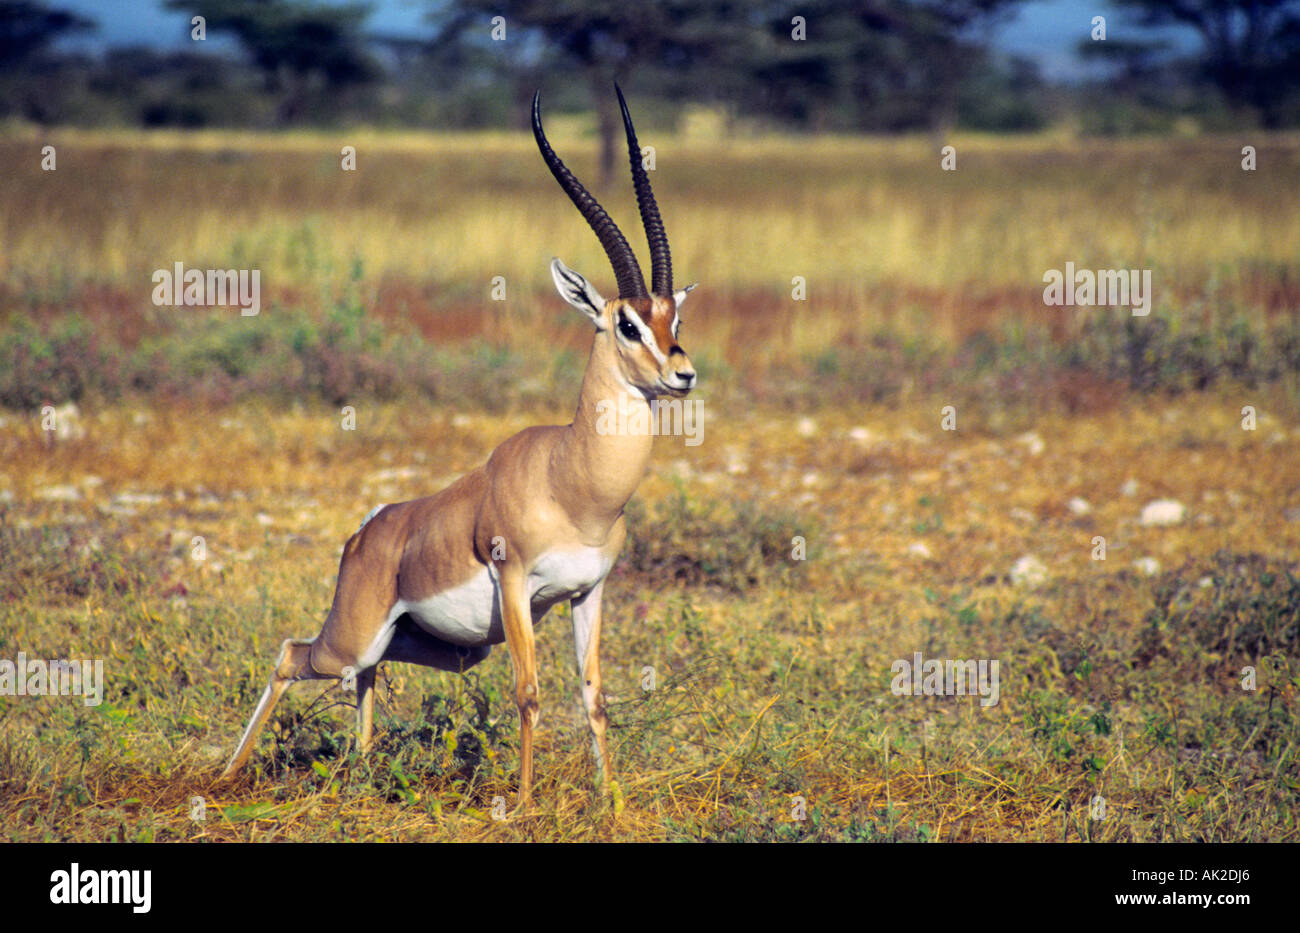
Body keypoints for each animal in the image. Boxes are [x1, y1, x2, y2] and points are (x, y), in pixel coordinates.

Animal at [220, 86, 697, 807]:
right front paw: (524, 804)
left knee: (364, 676)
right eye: (627, 323)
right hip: (350, 636)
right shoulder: (517, 581)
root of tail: (368, 530)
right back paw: (223, 774)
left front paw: (609, 801)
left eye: (675, 315)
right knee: (289, 653)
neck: (573, 482)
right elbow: (529, 693)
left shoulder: (589, 592)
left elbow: (593, 697)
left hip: (426, 643)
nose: (683, 374)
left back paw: (361, 773)